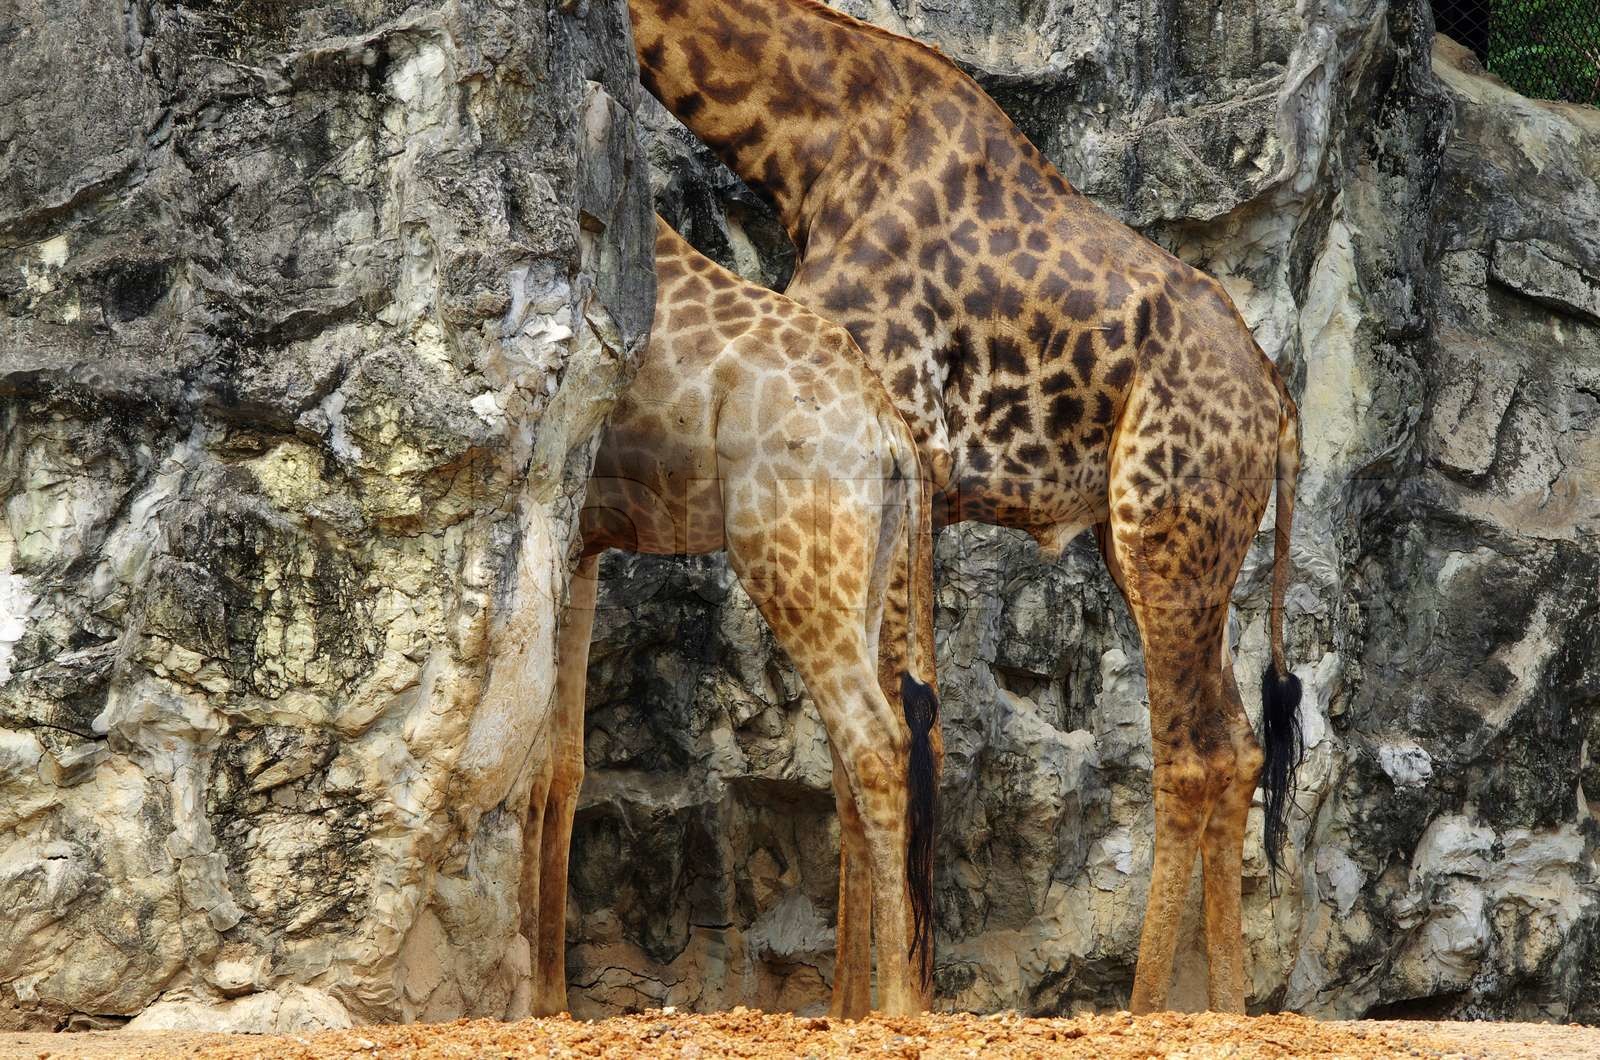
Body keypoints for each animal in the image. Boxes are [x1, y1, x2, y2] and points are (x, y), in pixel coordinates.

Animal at [519, 216, 941, 1019]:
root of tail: (889, 434)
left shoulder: (568, 527)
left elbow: (529, 763)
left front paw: (529, 992)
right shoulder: (587, 539)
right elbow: (564, 762)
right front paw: (550, 996)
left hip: (785, 555)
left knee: (876, 741)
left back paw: (895, 1009)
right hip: (863, 578)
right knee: (856, 757)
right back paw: (842, 1009)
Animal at [628, 0, 1304, 1015]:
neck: (812, 145)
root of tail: (1278, 402)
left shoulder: (904, 439)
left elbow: (910, 739)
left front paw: (899, 998)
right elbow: (867, 755)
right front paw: (850, 1009)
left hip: (1162, 528)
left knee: (1192, 755)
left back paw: (1145, 1009)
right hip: (1172, 547)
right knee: (1239, 742)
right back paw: (1228, 1009)